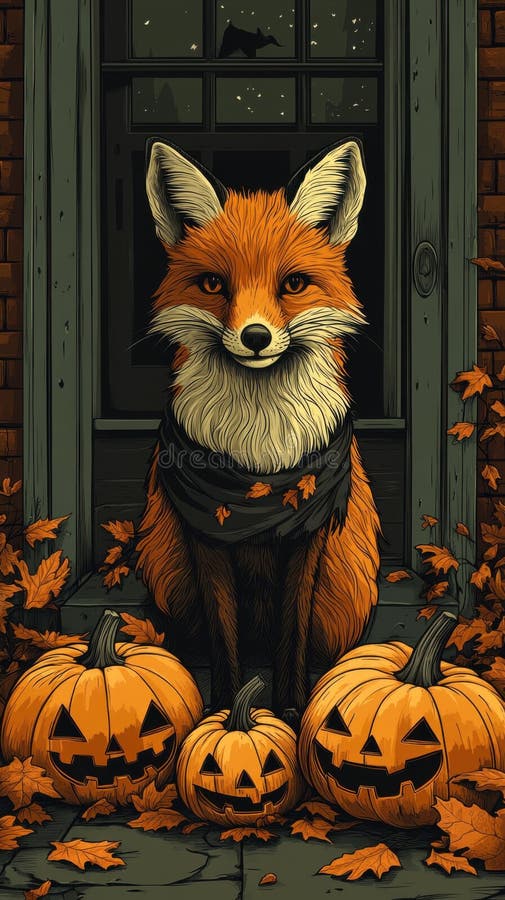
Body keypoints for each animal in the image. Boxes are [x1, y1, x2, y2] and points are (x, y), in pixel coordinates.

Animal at [136, 138, 381, 724]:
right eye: (213, 284)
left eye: (292, 284)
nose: (254, 337)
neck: (259, 461)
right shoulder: (205, 534)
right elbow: (223, 636)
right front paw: (226, 714)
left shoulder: (307, 530)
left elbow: (291, 635)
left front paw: (291, 712)